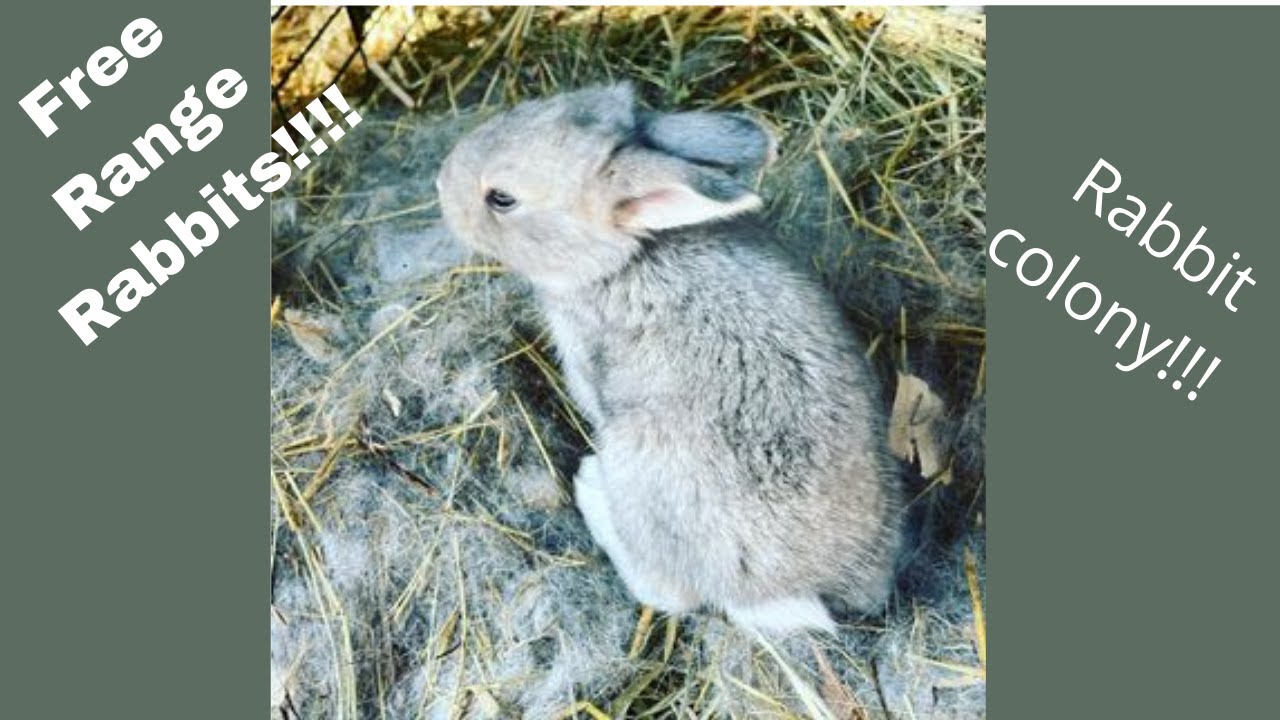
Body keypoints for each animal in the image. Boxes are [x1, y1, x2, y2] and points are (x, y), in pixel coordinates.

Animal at [436, 83, 903, 635]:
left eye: (502, 198)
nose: (440, 182)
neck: (627, 257)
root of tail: (806, 588)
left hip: (637, 461)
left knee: (671, 593)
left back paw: (590, 487)